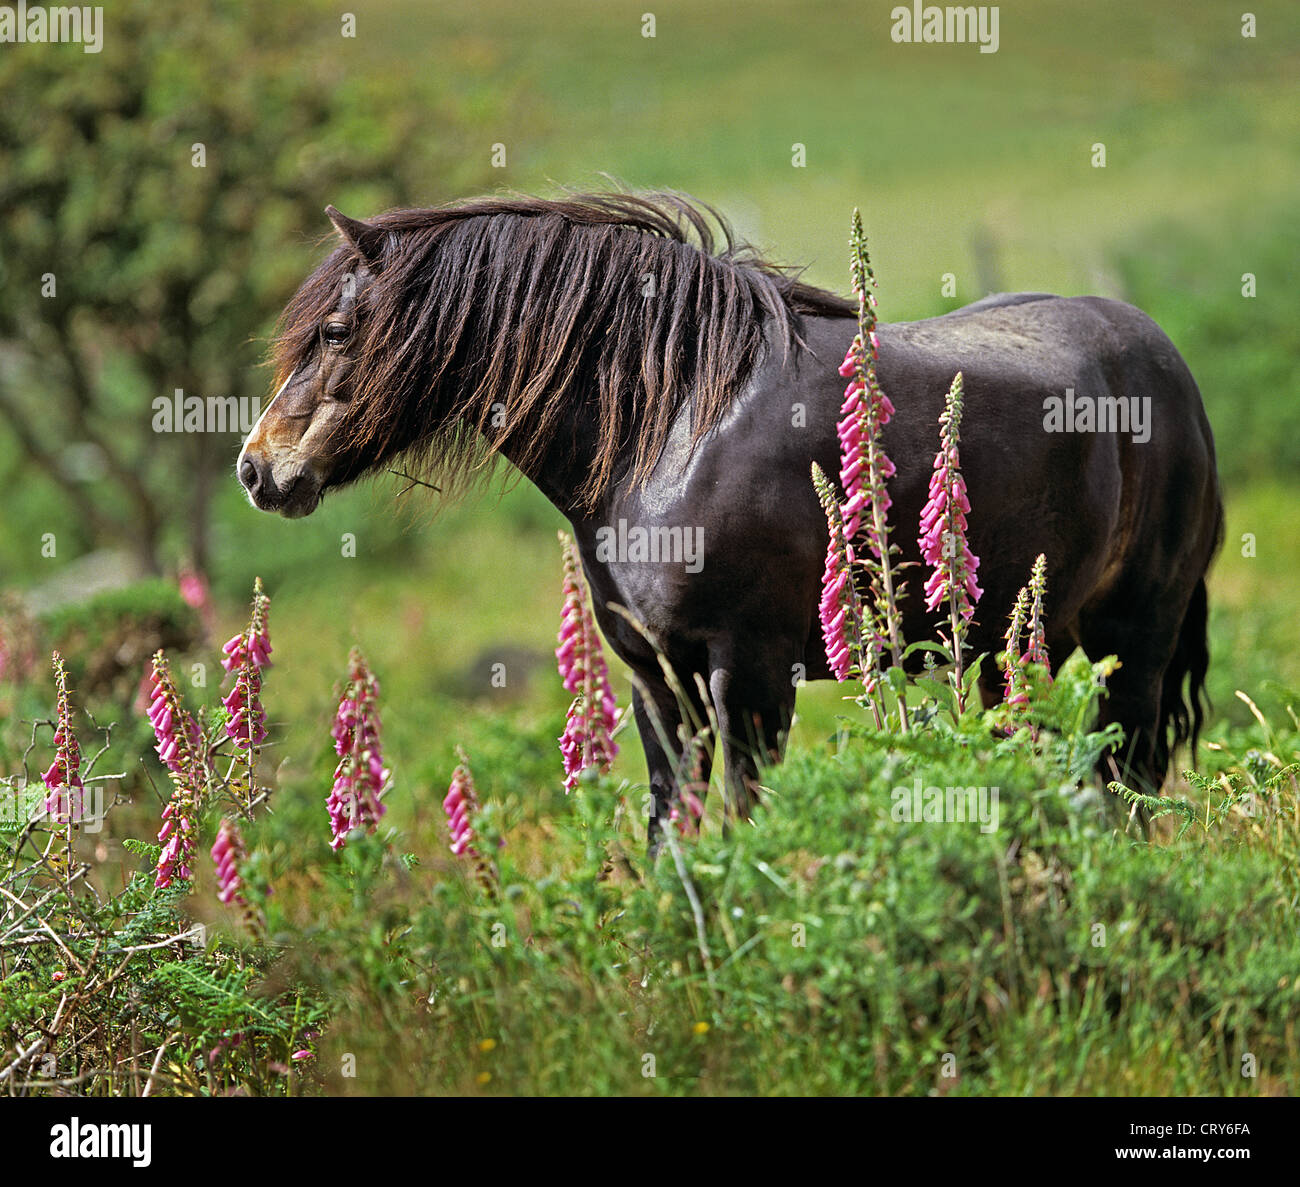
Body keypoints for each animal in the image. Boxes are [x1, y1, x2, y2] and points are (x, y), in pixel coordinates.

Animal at [236, 190, 1223, 848]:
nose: (257, 468)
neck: (672, 429)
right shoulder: (656, 683)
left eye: (333, 332)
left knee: (1127, 778)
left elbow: (744, 826)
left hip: (1133, 641)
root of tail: (1172, 368)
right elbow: (671, 838)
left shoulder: (747, 674)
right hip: (1010, 649)